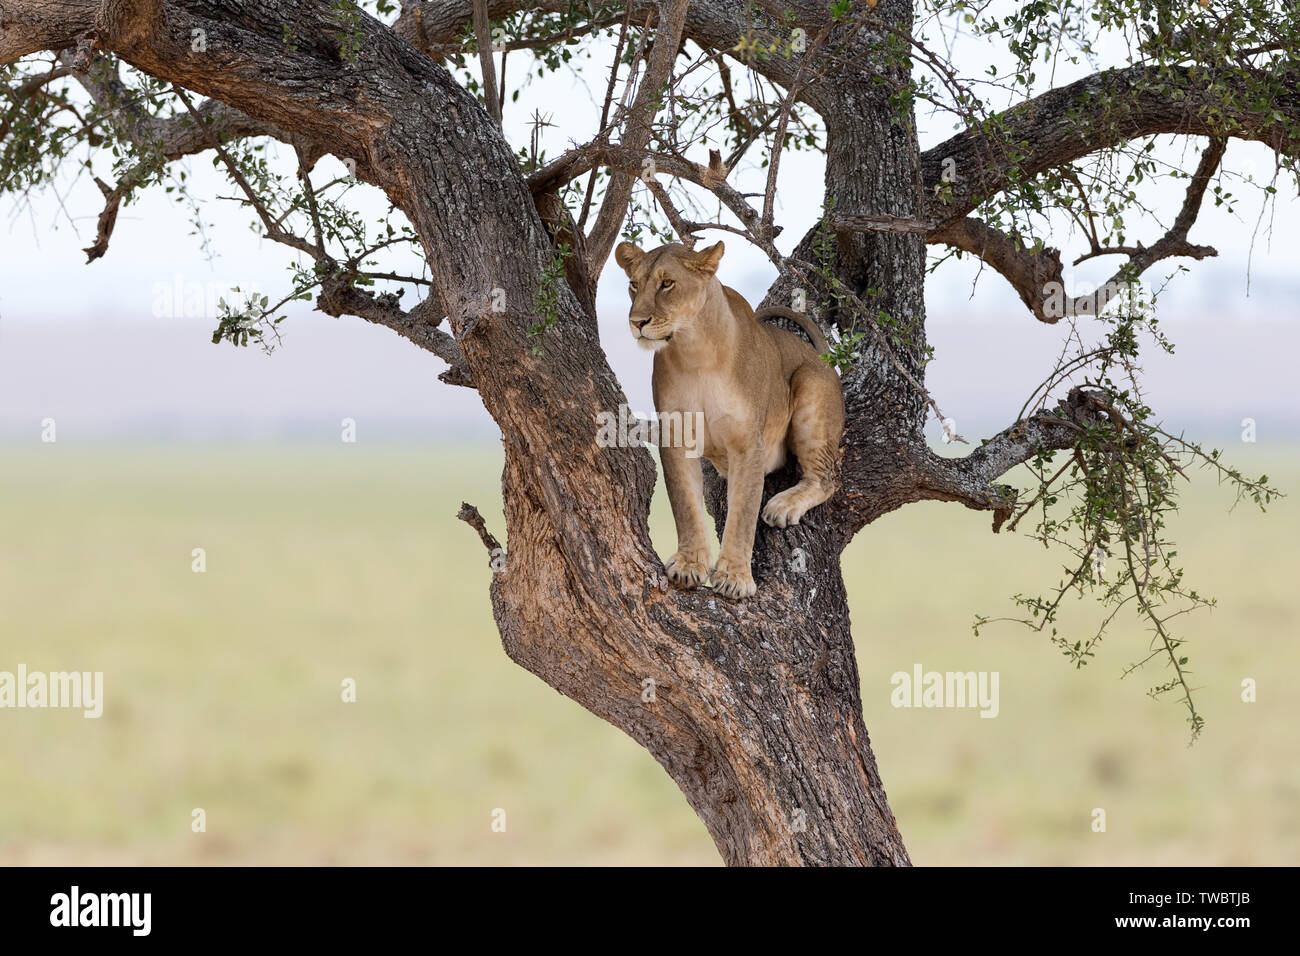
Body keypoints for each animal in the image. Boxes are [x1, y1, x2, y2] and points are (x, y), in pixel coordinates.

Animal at [614, 240, 846, 599]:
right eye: (634, 285)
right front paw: (689, 565)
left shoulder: (748, 444)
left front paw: (735, 578)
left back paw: (782, 506)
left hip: (810, 385)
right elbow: (686, 505)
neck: (694, 351)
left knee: (825, 479)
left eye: (667, 284)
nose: (637, 322)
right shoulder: (677, 437)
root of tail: (820, 358)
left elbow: (743, 514)